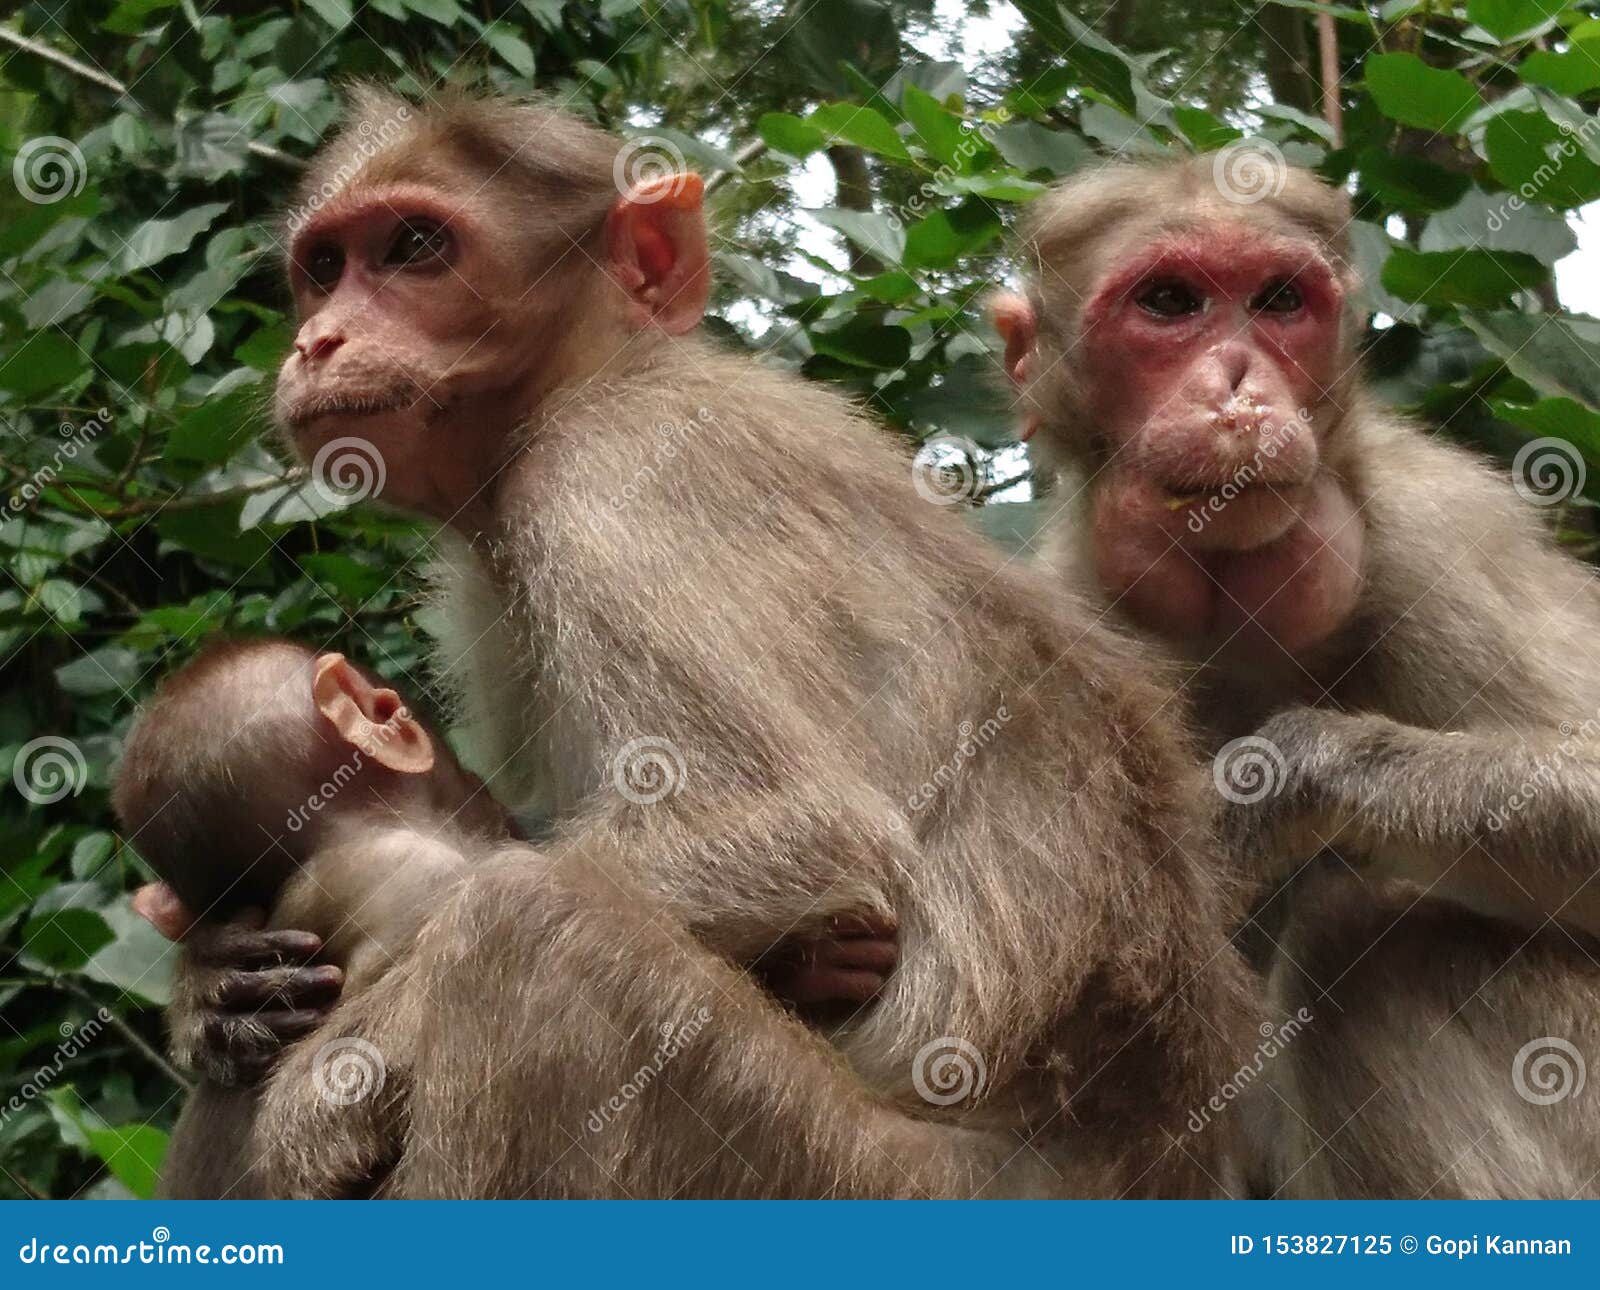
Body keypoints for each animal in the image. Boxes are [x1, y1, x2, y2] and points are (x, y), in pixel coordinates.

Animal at [154, 87, 1259, 1199]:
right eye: (324, 266)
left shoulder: (616, 475)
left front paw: (327, 1081)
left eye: (415, 247)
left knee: (527, 934)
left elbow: (807, 825)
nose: (318, 341)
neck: (594, 379)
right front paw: (213, 992)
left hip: (849, 1176)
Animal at [998, 153, 1600, 1197]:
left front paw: (1270, 785)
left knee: (1354, 931)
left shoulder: (1440, 532)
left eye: (1280, 302)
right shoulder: (1063, 614)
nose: (1240, 384)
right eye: (1170, 302)